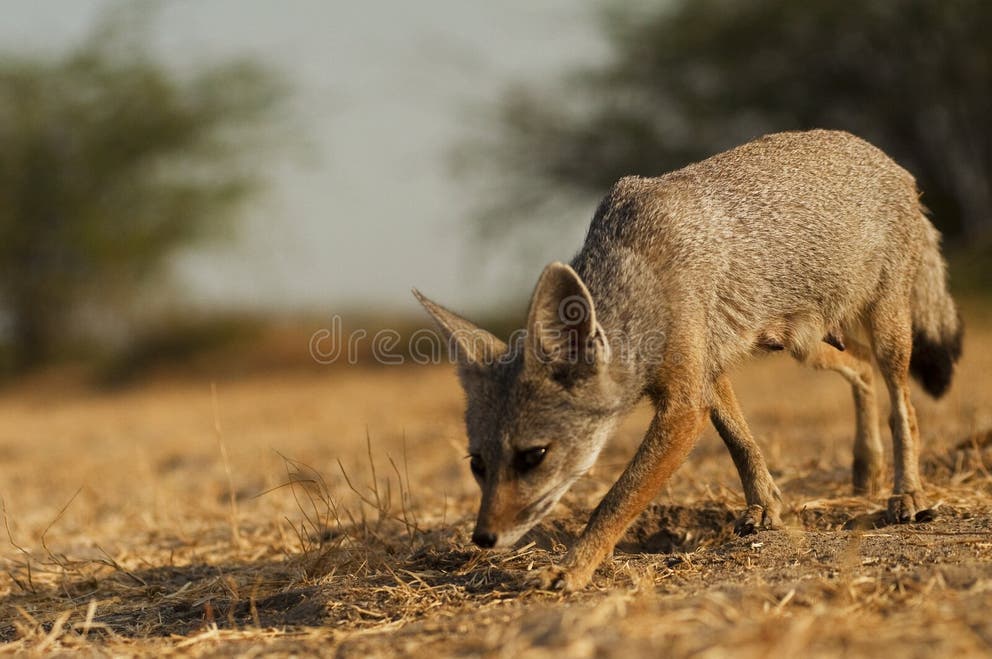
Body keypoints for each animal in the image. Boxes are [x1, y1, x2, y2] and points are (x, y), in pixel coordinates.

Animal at [413, 129, 962, 592]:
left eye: (533, 456)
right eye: (478, 464)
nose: (482, 538)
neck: (641, 274)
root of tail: (888, 160)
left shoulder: (684, 403)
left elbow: (615, 500)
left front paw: (573, 568)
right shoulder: (707, 373)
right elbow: (741, 442)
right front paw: (764, 507)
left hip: (887, 331)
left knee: (903, 407)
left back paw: (907, 493)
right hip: (803, 345)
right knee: (862, 372)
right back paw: (865, 467)